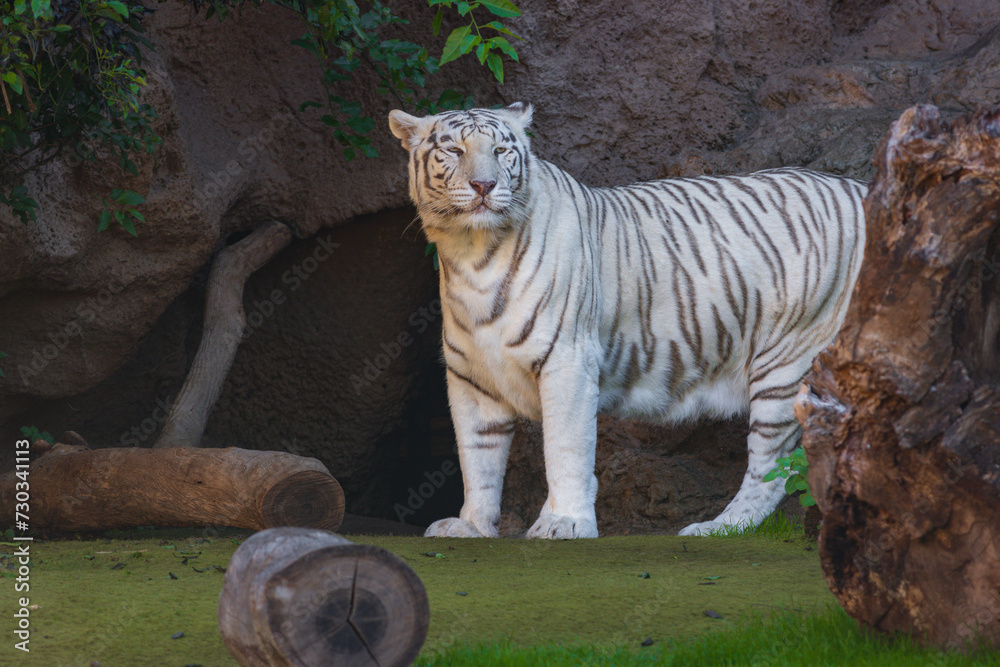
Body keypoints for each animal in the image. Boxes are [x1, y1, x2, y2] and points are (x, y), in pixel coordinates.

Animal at [388, 102, 866, 538]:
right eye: (453, 149)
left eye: (502, 150)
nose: (484, 184)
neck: (473, 254)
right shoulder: (471, 376)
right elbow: (477, 457)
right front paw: (472, 525)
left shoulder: (567, 359)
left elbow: (565, 446)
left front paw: (564, 522)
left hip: (786, 361)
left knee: (773, 467)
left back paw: (718, 528)